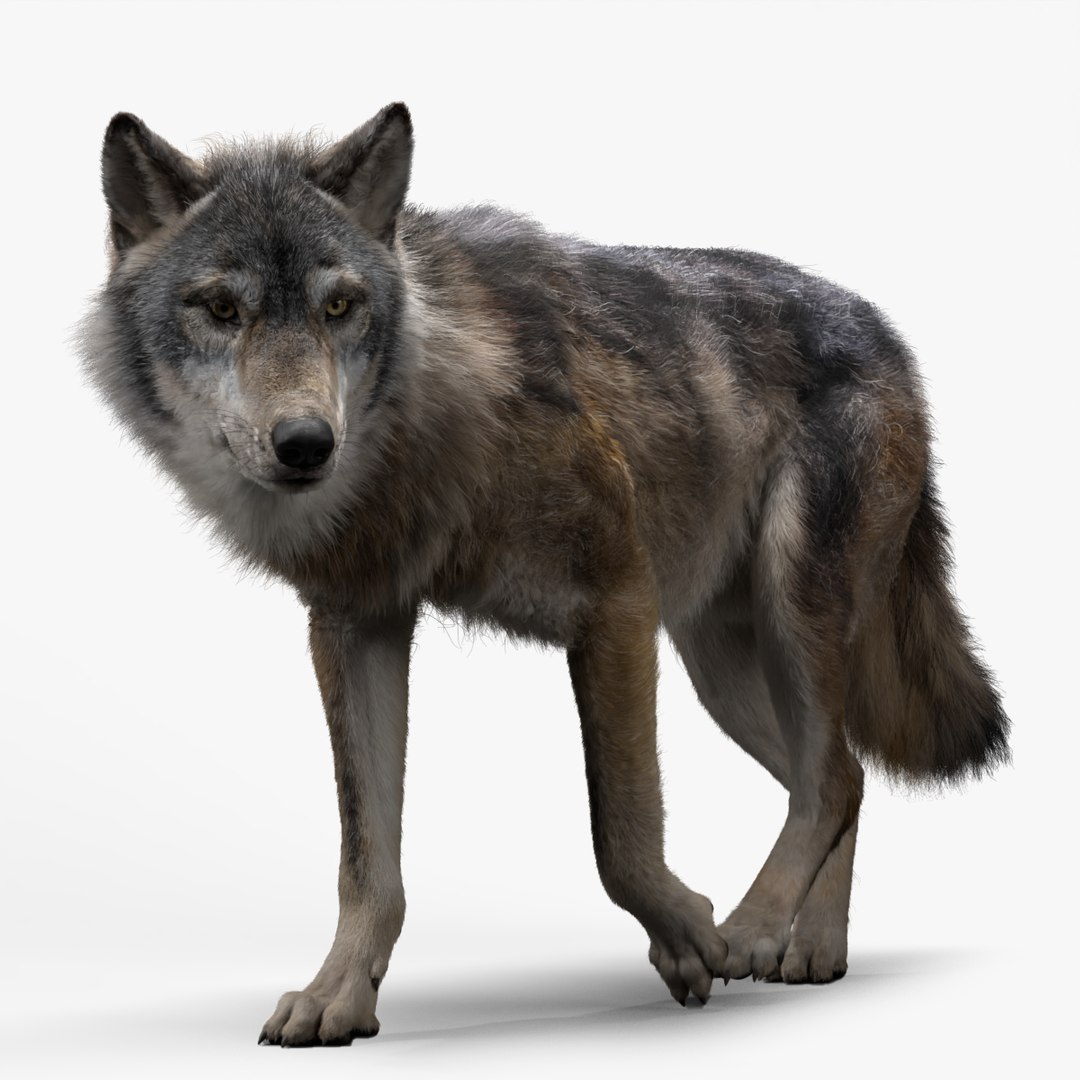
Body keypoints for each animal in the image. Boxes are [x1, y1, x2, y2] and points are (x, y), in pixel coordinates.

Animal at [82, 102, 1009, 1047]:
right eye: (221, 309)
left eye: (338, 305)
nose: (306, 444)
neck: (429, 429)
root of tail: (885, 332)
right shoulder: (356, 624)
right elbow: (367, 859)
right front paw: (338, 995)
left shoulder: (616, 605)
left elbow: (619, 835)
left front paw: (693, 937)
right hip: (723, 672)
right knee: (843, 777)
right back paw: (814, 950)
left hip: (788, 621)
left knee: (828, 782)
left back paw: (754, 930)